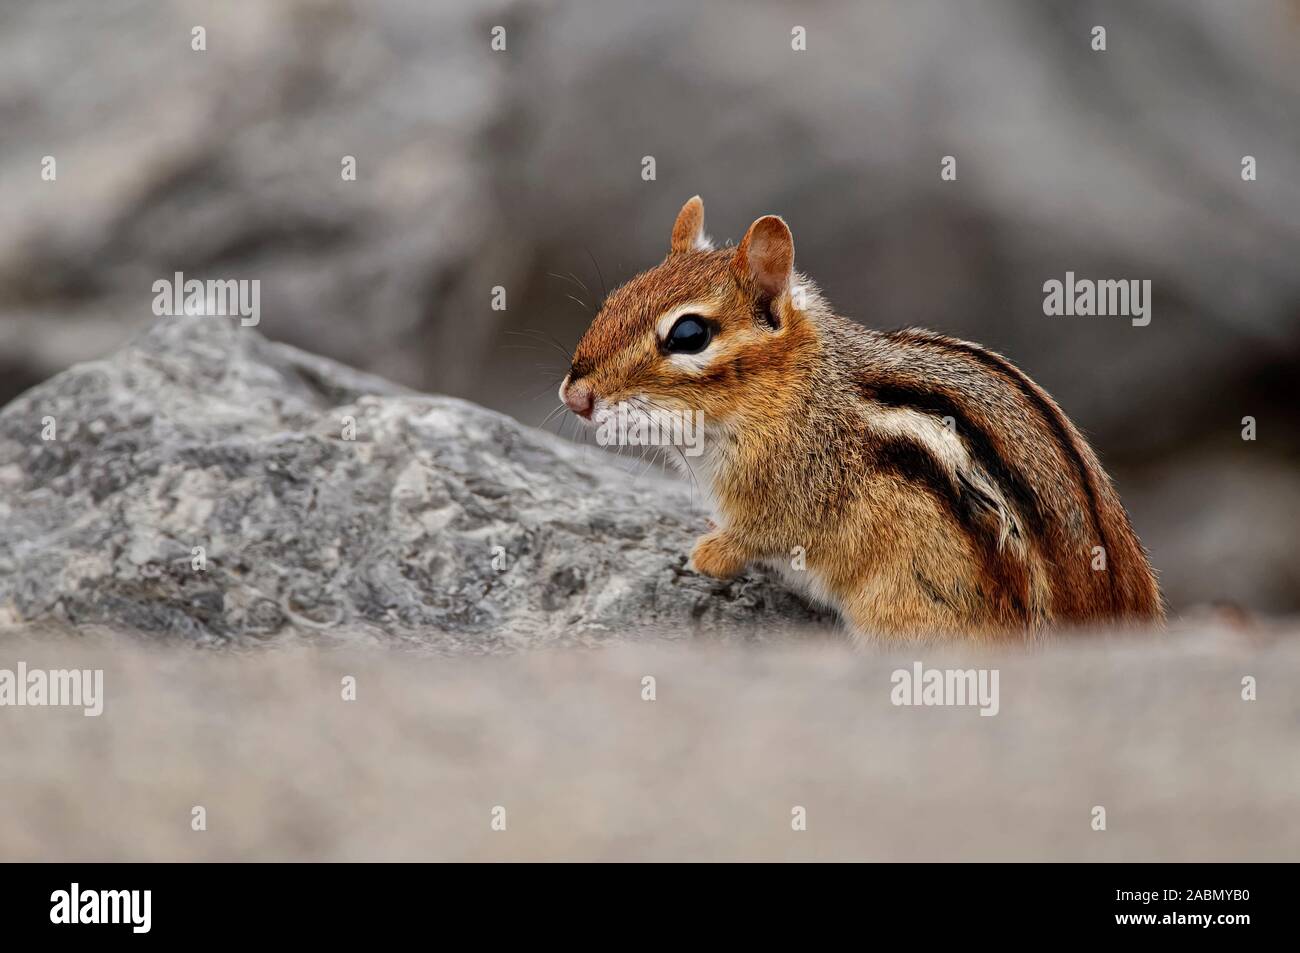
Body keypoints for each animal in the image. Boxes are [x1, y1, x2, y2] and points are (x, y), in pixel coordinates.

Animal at [559, 196, 1163, 640]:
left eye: (688, 334)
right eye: (616, 298)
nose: (575, 396)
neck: (796, 394)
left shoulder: (786, 500)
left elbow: (757, 536)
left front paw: (707, 553)